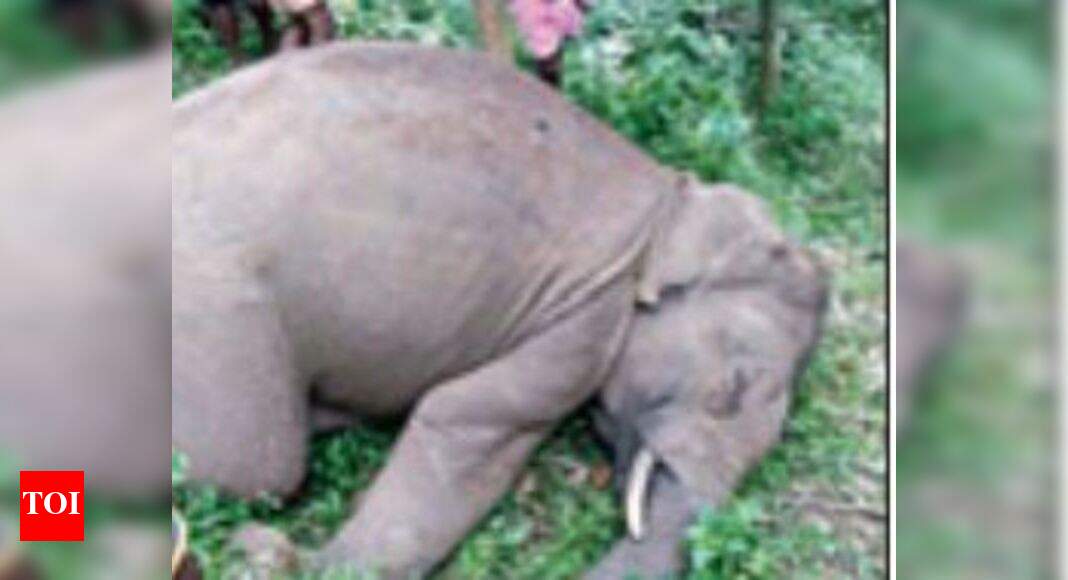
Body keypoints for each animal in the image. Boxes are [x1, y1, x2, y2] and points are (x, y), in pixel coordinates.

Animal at [172, 42, 827, 578]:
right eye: (731, 390)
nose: (269, 549)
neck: (676, 204)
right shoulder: (588, 314)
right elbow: (463, 418)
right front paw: (290, 560)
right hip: (216, 304)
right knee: (261, 468)